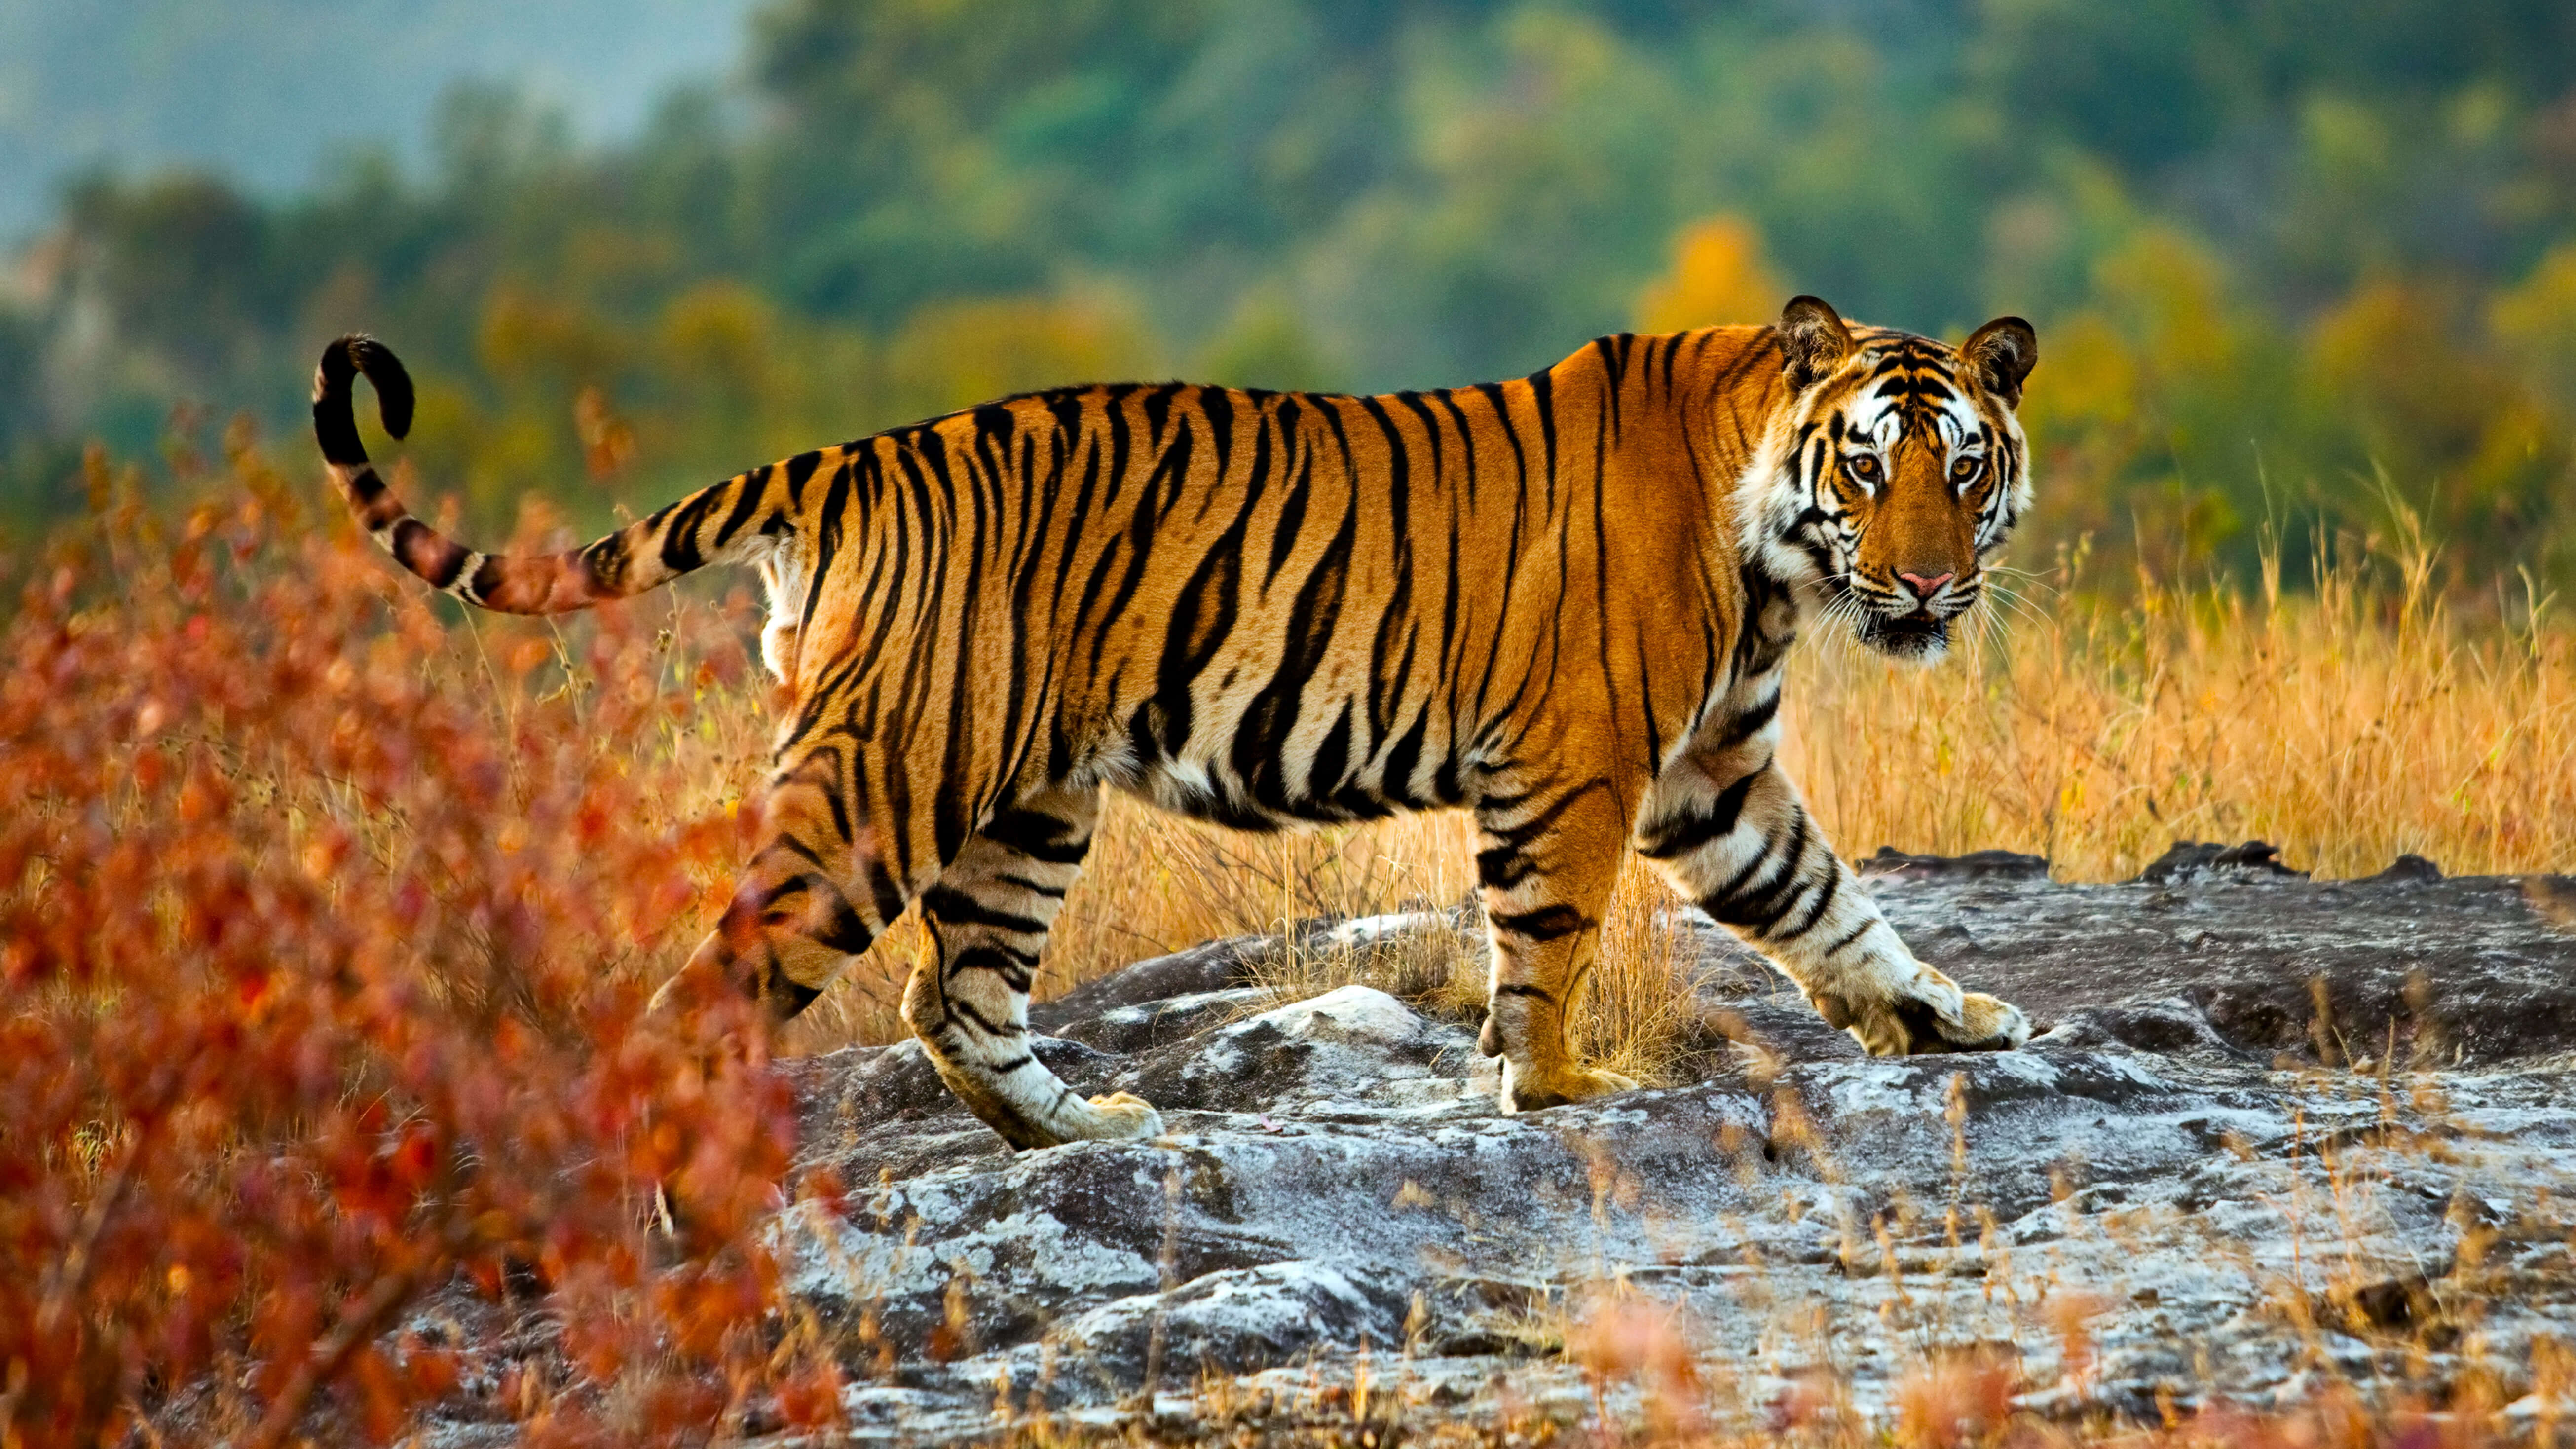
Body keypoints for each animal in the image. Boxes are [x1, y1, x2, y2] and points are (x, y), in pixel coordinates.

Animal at [310, 294, 2038, 1150]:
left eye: (1963, 470)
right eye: (1868, 467)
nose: (1927, 584)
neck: (1775, 558)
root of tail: (848, 459)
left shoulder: (1710, 772)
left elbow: (1828, 903)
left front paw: (1948, 1018)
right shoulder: (1579, 764)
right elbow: (1547, 944)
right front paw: (1552, 1094)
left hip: (1024, 804)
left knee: (956, 996)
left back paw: (1081, 1129)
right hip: (885, 786)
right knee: (712, 995)